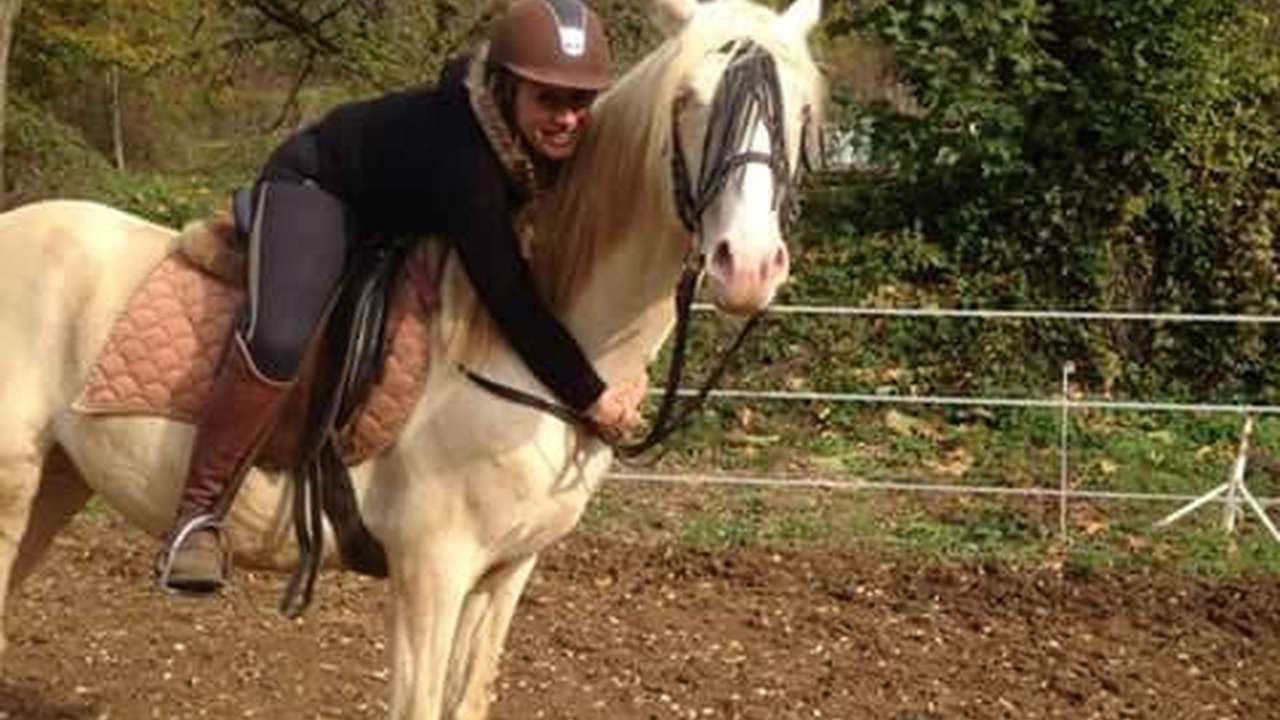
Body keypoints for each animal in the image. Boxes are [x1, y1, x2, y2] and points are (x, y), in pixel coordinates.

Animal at [0, 0, 827, 717]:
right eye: (689, 100)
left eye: (800, 112)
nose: (749, 266)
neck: (534, 354)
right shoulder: (433, 571)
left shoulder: (504, 576)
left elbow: (470, 700)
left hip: (60, 481)